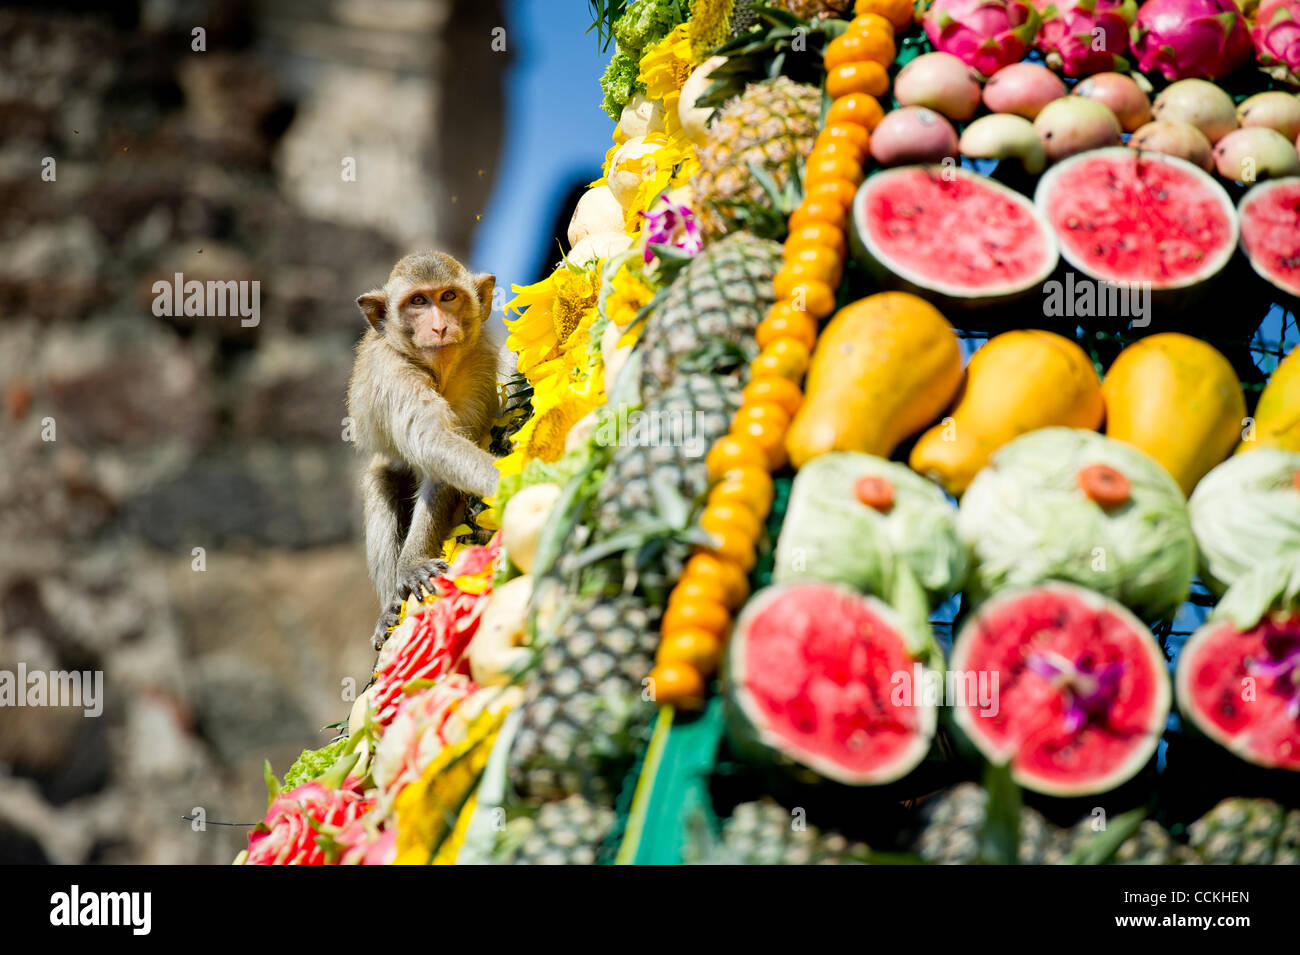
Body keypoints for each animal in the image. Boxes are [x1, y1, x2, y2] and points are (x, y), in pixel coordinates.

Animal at [347, 251, 502, 648]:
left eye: (448, 297)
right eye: (418, 302)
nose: (440, 327)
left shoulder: (477, 366)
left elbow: (442, 466)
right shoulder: (392, 370)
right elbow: (432, 441)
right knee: (381, 479)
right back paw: (389, 608)